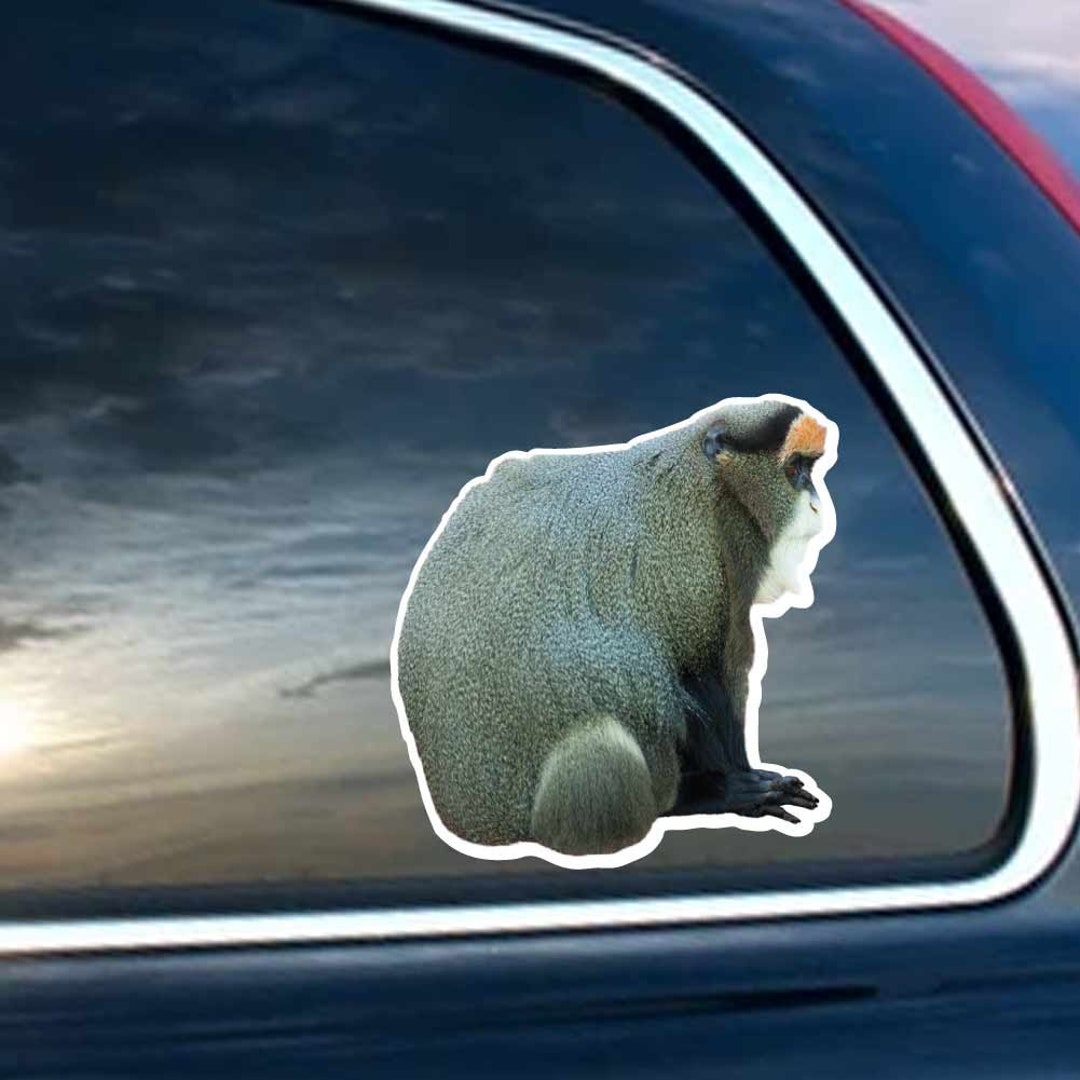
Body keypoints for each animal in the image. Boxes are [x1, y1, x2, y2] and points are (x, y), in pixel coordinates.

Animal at [392, 395, 836, 861]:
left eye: (810, 468)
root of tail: (478, 825)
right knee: (604, 737)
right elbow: (699, 672)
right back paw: (689, 798)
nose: (816, 504)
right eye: (795, 469)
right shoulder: (701, 554)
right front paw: (736, 788)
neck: (708, 475)